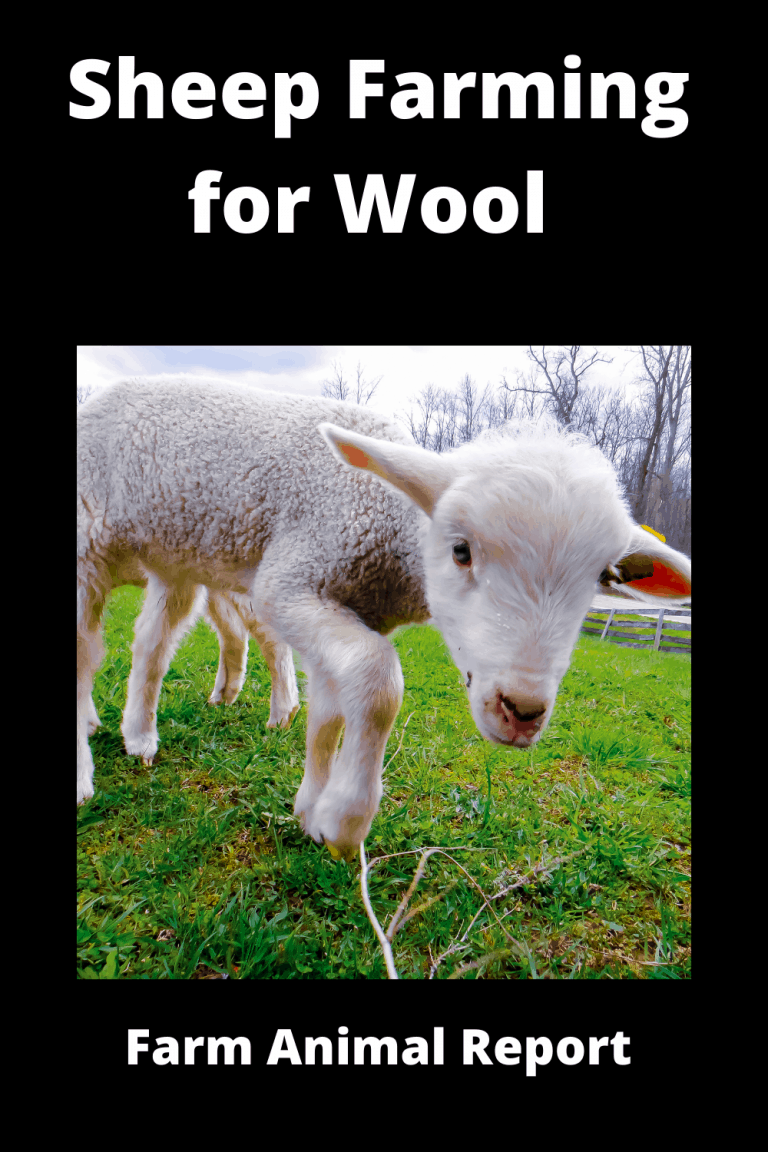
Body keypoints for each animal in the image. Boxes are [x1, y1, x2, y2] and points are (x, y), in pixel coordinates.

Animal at [77, 376, 691, 861]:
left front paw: (310, 807)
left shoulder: (346, 609)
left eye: (604, 577)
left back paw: (138, 735)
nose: (521, 711)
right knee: (86, 653)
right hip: (87, 545)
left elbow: (329, 715)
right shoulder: (292, 584)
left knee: (151, 645)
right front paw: (345, 819)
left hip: (174, 560)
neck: (387, 518)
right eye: (460, 550)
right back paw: (84, 765)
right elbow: (376, 684)